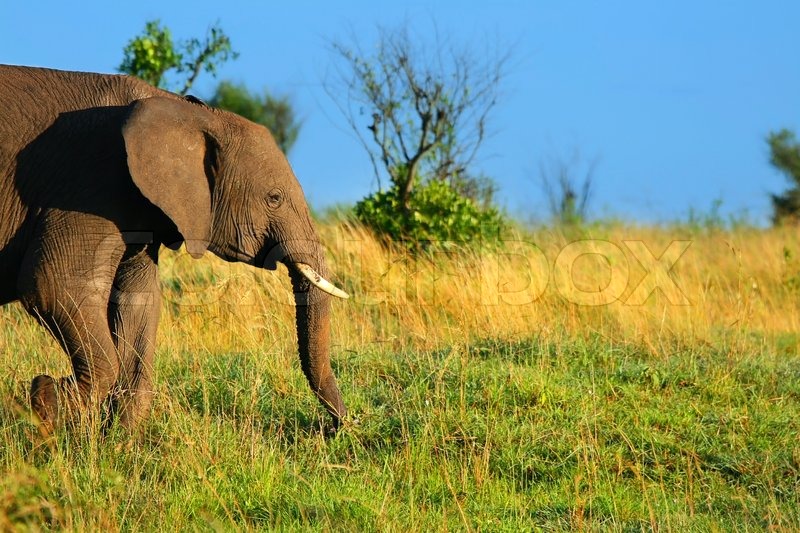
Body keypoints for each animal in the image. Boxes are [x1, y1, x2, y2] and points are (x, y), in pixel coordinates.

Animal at [0, 64, 349, 433]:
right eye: (274, 198)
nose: (335, 427)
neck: (185, 111)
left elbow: (139, 301)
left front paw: (118, 440)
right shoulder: (89, 186)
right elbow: (53, 285)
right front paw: (45, 406)